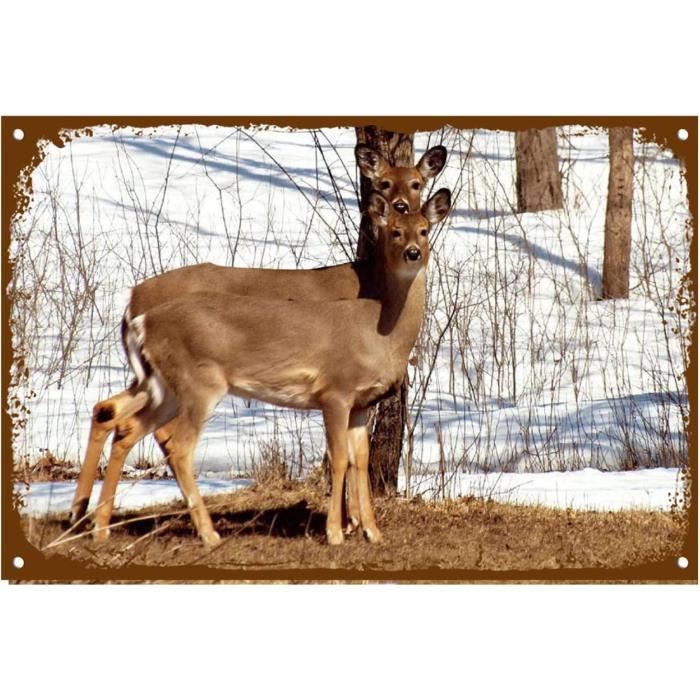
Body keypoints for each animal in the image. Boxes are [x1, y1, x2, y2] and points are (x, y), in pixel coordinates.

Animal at [71, 143, 448, 532]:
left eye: (417, 183)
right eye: (384, 182)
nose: (401, 205)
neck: (372, 284)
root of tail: (132, 301)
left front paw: (356, 521)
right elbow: (340, 454)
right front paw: (347, 522)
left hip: (148, 375)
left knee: (108, 410)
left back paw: (81, 513)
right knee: (159, 431)